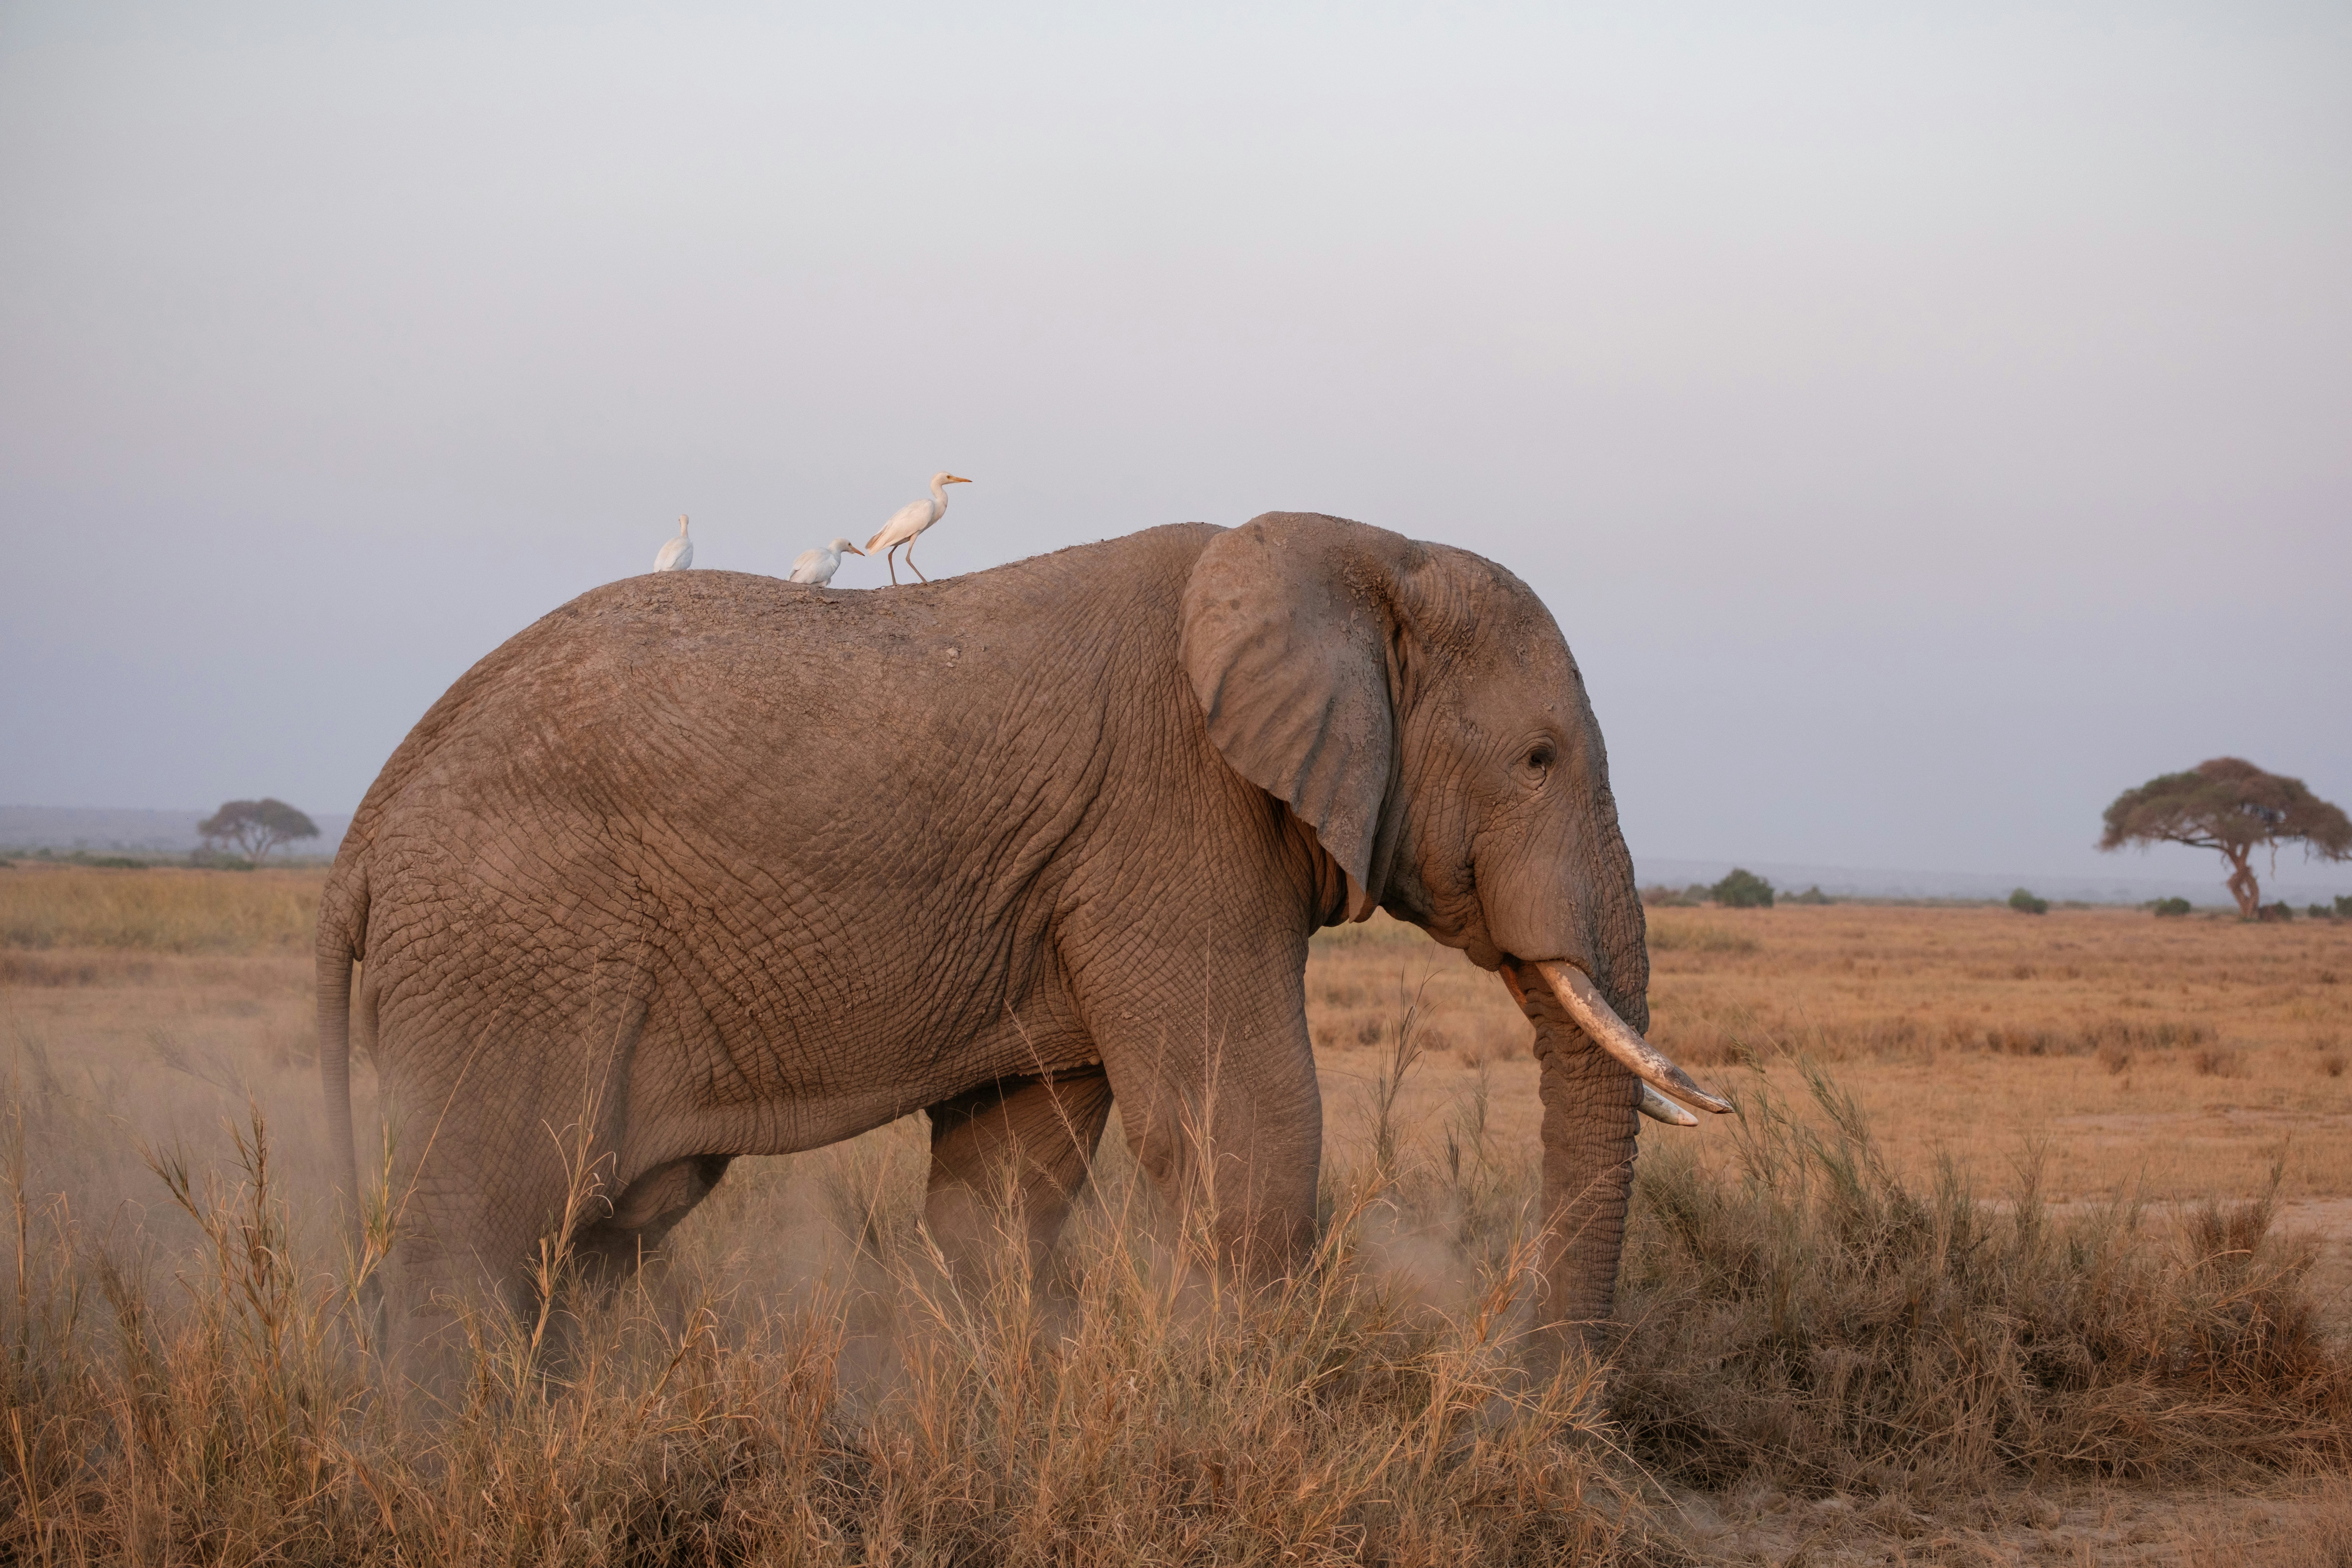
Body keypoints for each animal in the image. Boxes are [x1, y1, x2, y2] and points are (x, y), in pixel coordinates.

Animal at [316, 511, 1727, 1356]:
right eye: (1539, 758)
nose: (1534, 1396)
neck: (1357, 542)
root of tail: (364, 829)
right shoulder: (1173, 822)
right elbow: (1248, 1129)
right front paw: (1243, 1404)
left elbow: (1000, 1187)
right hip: (510, 945)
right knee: (484, 1234)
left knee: (600, 1231)